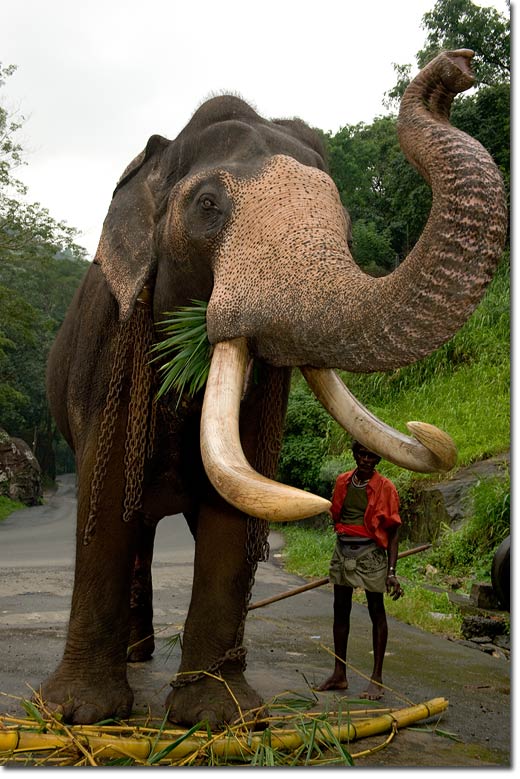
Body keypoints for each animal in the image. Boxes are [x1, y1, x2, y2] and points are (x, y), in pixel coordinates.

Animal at [41, 49, 507, 729]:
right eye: (208, 205)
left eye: (345, 224)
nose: (457, 67)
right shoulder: (110, 345)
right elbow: (104, 504)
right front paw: (79, 715)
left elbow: (235, 507)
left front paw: (217, 718)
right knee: (135, 524)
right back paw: (133, 659)